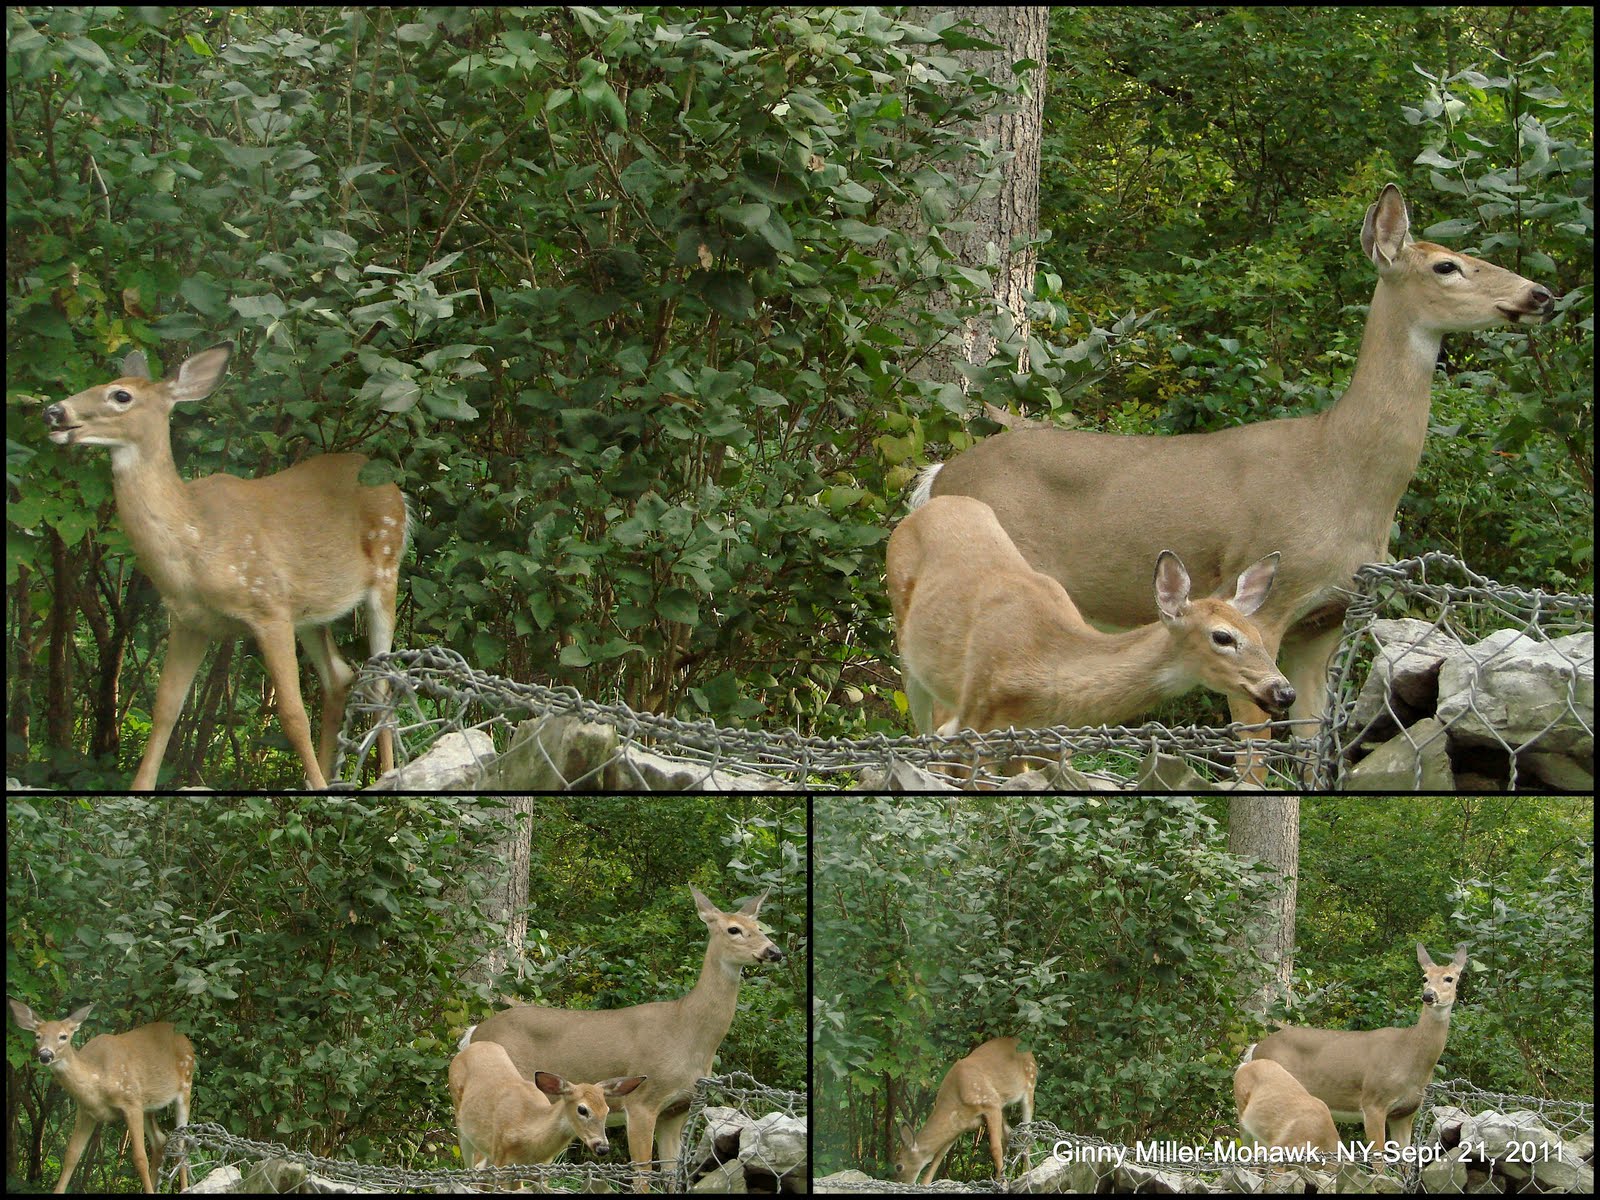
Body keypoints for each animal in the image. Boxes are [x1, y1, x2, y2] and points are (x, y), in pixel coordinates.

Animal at [8, 999, 195, 1194]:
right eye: (38, 1036)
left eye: (63, 1036)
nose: (45, 1055)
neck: (98, 1082)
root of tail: (185, 1038)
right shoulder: (86, 1111)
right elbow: (71, 1155)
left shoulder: (132, 1101)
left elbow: (140, 1157)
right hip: (149, 1106)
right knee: (160, 1140)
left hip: (185, 1086)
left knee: (181, 1142)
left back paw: (184, 1187)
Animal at [43, 342, 409, 790]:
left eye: (121, 395)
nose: (54, 412)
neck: (194, 545)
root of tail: (395, 488)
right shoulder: (189, 621)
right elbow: (166, 709)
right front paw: (140, 788)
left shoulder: (267, 606)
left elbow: (291, 713)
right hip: (310, 611)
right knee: (339, 676)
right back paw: (324, 776)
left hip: (386, 569)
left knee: (381, 682)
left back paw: (388, 774)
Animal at [448, 1039, 646, 1177]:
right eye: (582, 1109)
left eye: (606, 1110)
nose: (603, 1148)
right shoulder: (503, 1162)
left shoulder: (540, 1168)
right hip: (462, 1125)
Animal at [893, 1036, 1037, 1186]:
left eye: (899, 1166)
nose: (900, 1182)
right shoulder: (960, 1125)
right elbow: (940, 1154)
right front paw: (925, 1183)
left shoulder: (991, 1103)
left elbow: (995, 1148)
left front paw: (1002, 1183)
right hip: (1002, 1106)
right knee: (1010, 1134)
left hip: (1029, 1087)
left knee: (1026, 1135)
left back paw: (1026, 1174)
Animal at [1247, 943, 1470, 1157]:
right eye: (1424, 978)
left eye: (1449, 978)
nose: (1428, 995)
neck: (1408, 1053)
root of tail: (1255, 1049)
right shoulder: (1372, 1103)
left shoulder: (1406, 1113)